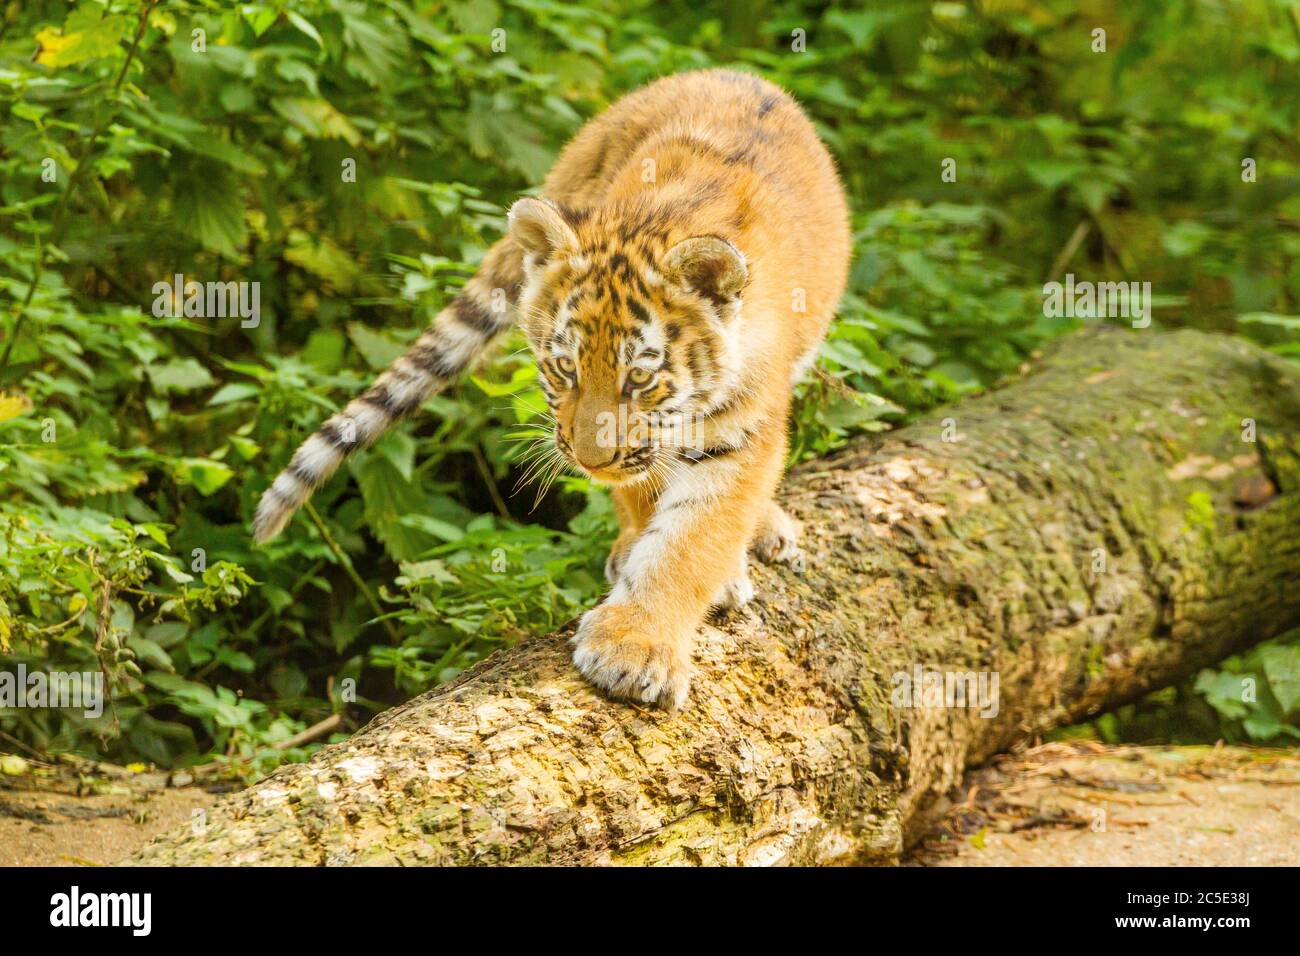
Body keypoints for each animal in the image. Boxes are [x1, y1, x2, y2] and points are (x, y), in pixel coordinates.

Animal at [253, 68, 851, 709]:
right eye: (564, 368)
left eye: (640, 376)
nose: (591, 460)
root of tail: (718, 72)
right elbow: (651, 506)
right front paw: (640, 605)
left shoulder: (742, 425)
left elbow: (692, 540)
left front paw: (636, 647)